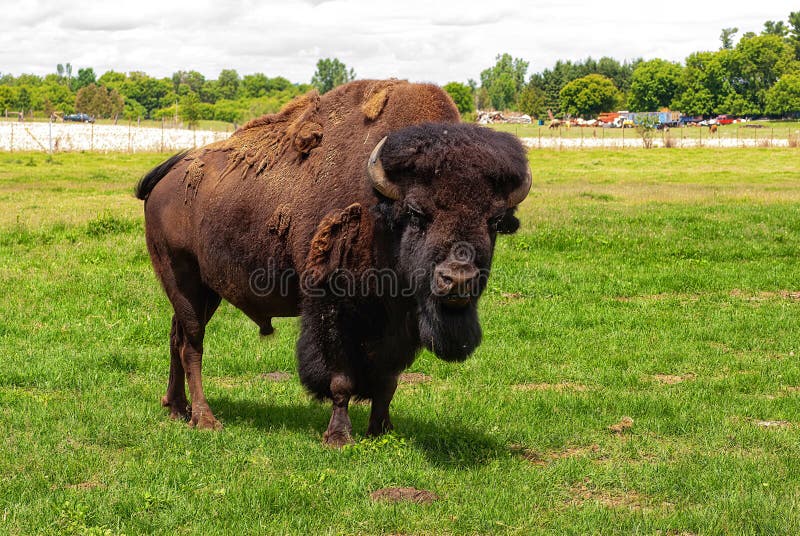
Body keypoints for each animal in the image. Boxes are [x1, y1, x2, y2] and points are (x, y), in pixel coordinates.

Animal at [136, 79, 531, 446]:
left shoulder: (397, 324)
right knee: (192, 345)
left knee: (176, 337)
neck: (383, 210)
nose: (458, 280)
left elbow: (388, 380)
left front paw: (381, 430)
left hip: (206, 291)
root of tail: (169, 174)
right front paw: (339, 436)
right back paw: (204, 418)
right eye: (417, 212)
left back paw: (176, 408)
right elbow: (340, 378)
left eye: (495, 220)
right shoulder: (334, 309)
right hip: (182, 279)